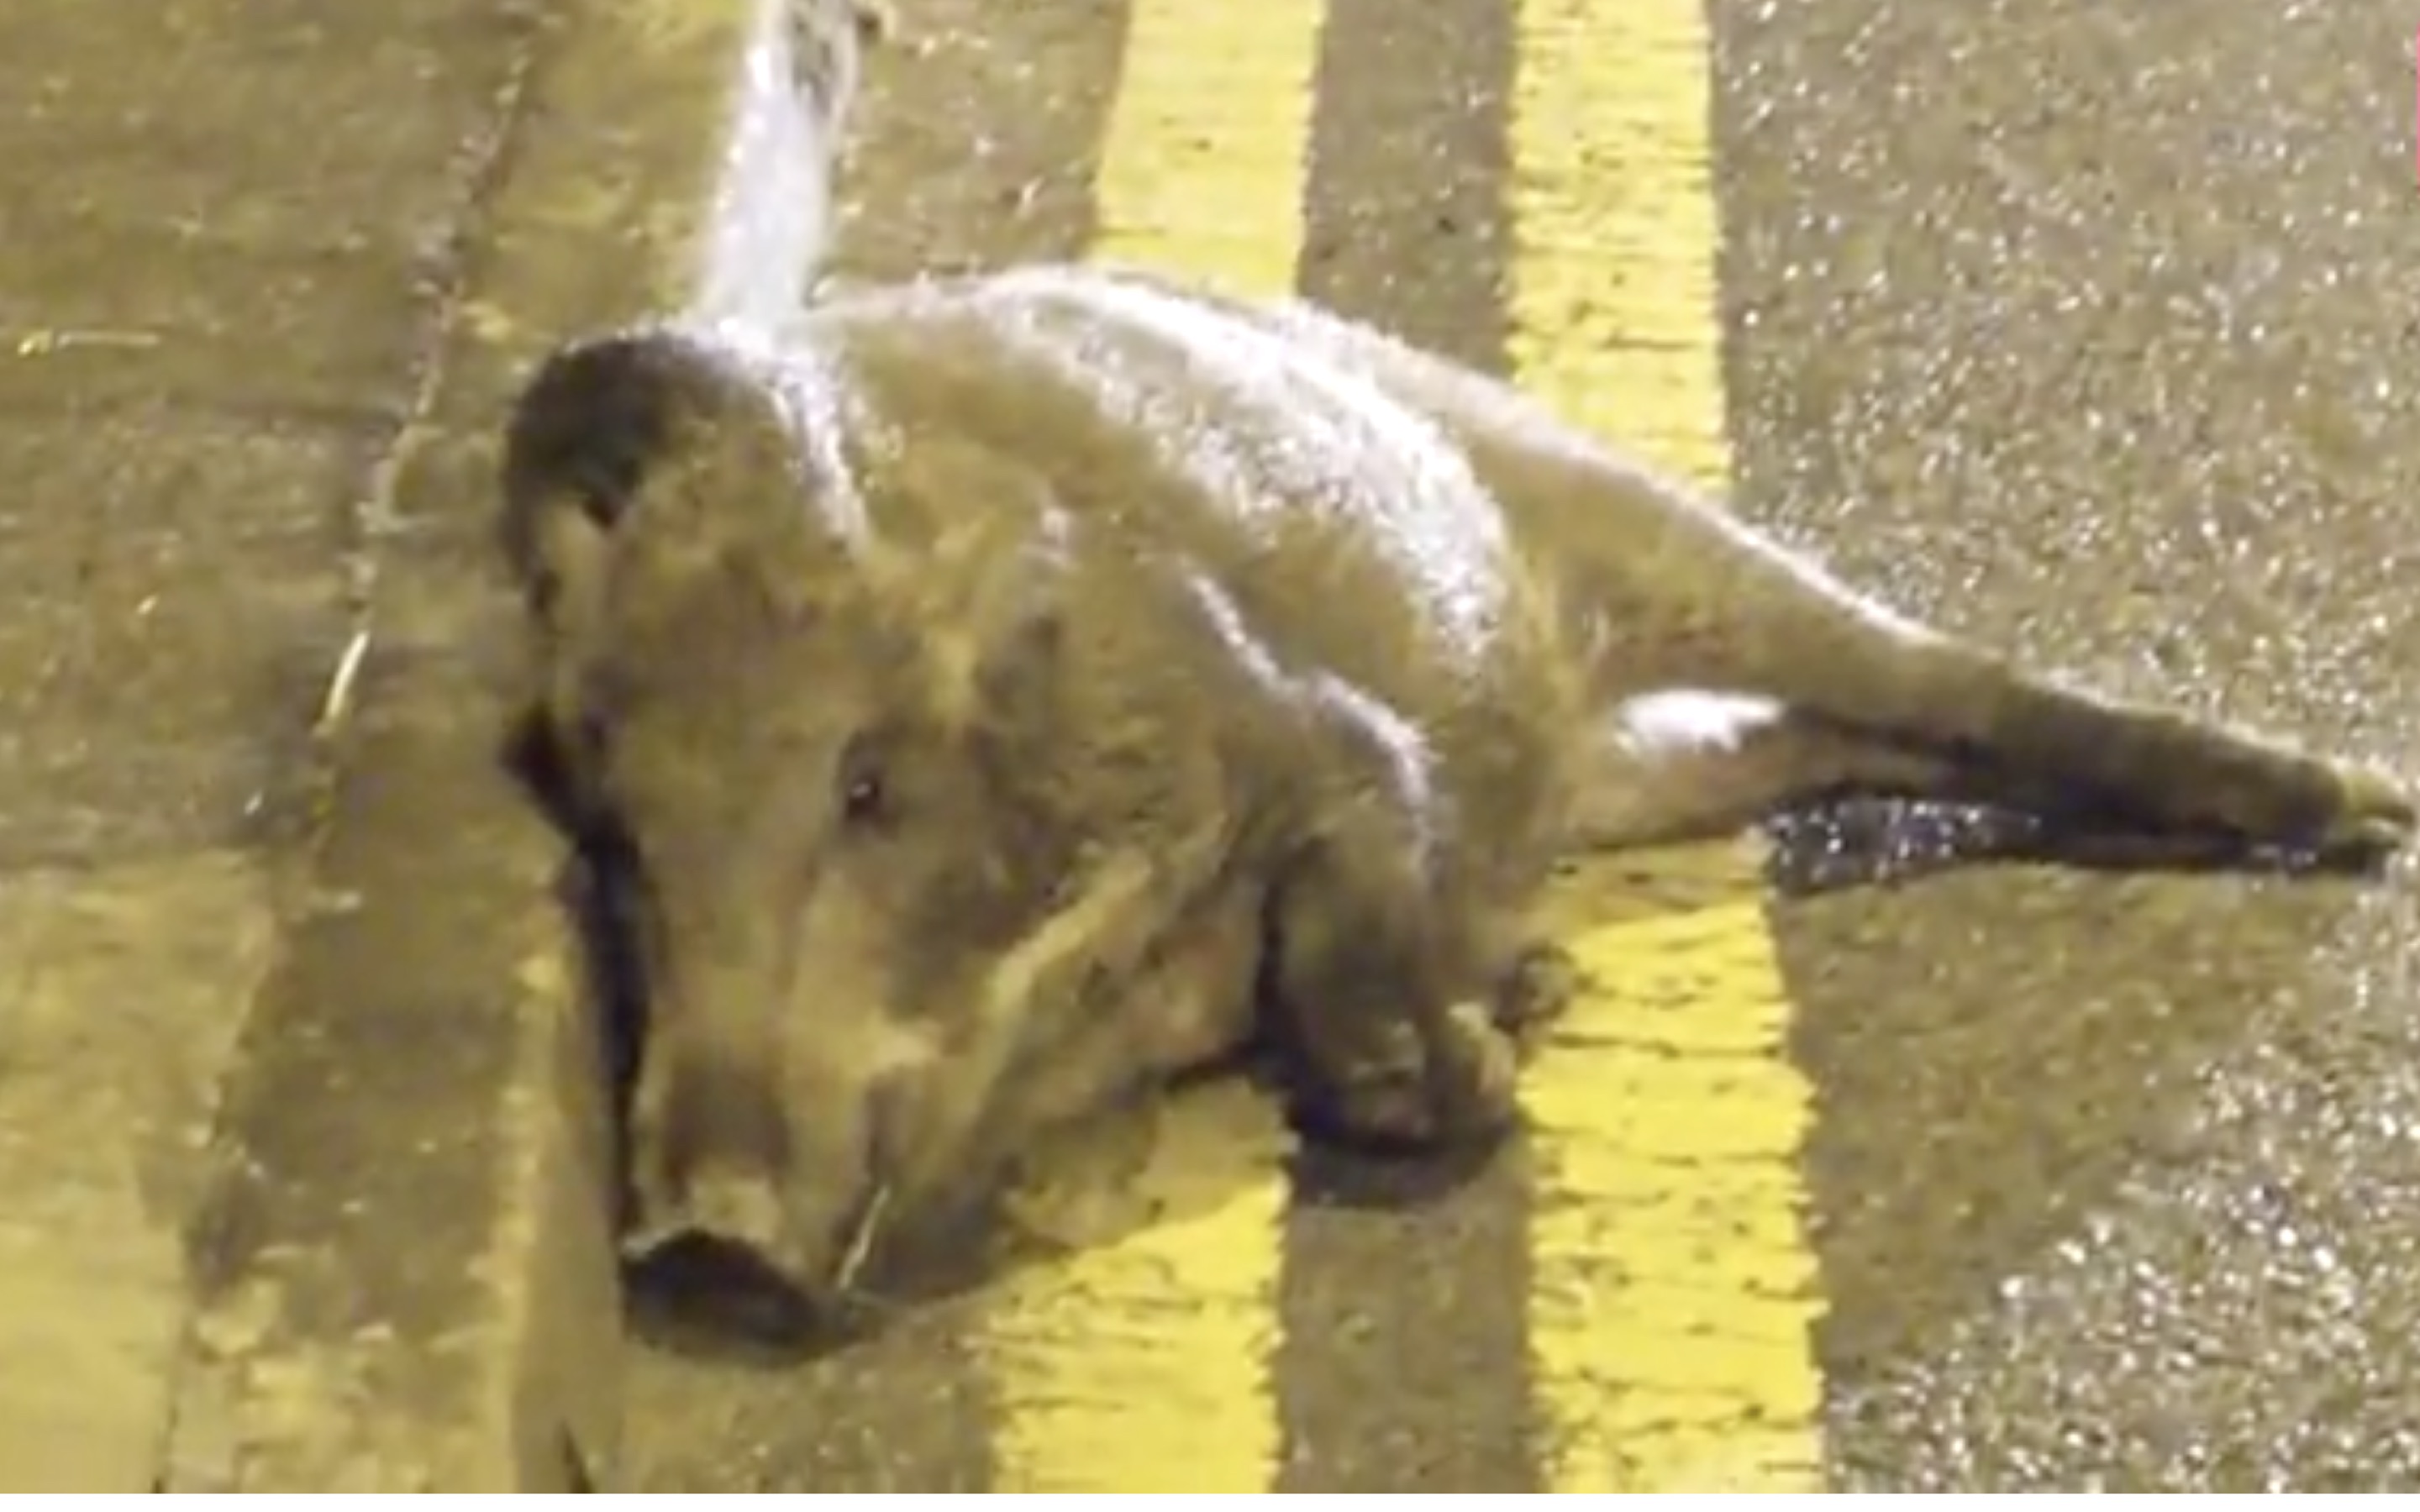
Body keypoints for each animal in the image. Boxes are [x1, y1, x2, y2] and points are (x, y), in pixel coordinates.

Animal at [498, 262, 2415, 1309]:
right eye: (619, 837)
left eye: (868, 783)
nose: (703, 1243)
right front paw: (1514, 1017)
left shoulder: (1322, 737)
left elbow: (1350, 915)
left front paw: (1488, 1057)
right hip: (1658, 753)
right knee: (1828, 741)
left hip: (1610, 499)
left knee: (1947, 682)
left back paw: (2360, 809)